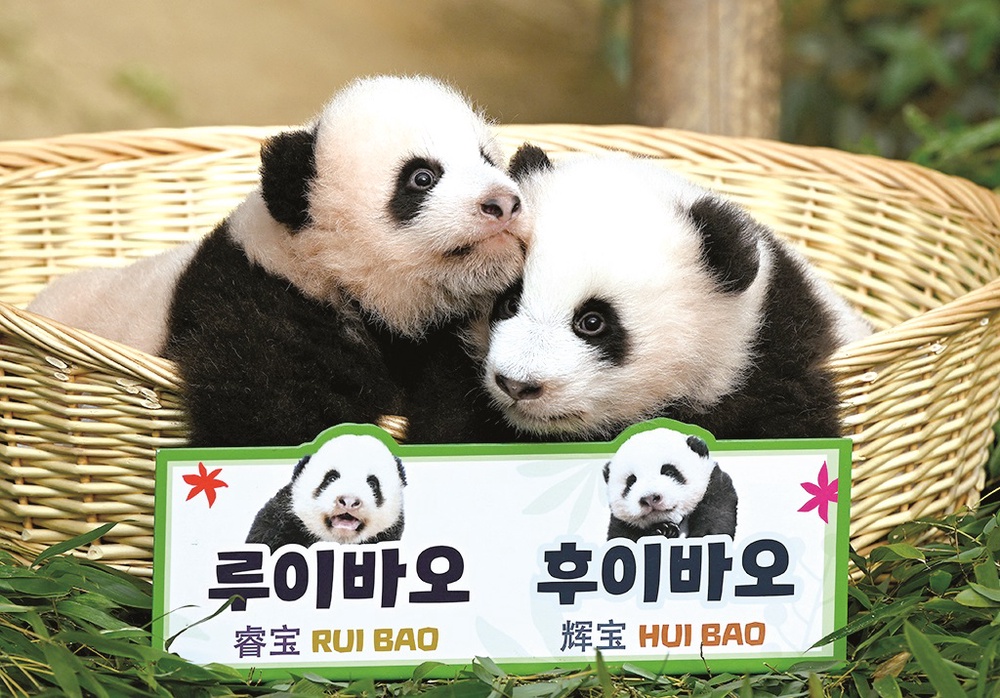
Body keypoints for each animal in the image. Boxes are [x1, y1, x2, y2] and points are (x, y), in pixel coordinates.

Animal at [603, 428, 737, 540]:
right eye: (631, 482)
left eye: (669, 472)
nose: (650, 498)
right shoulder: (620, 523)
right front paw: (663, 531)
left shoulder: (715, 487)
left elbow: (715, 517)